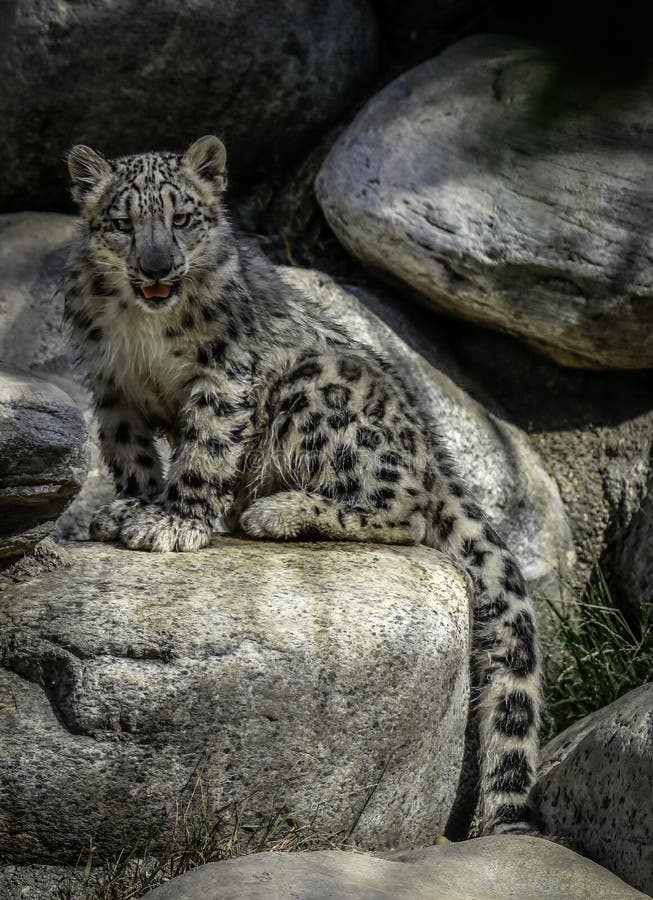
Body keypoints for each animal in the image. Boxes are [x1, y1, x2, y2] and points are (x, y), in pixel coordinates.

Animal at [64, 135, 541, 838]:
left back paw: (275, 512)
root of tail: (432, 447)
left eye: (182, 218)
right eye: (122, 222)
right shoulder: (113, 385)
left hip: (313, 395)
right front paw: (131, 506)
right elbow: (130, 454)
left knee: (407, 507)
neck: (142, 330)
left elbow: (206, 446)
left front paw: (173, 522)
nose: (158, 265)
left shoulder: (222, 371)